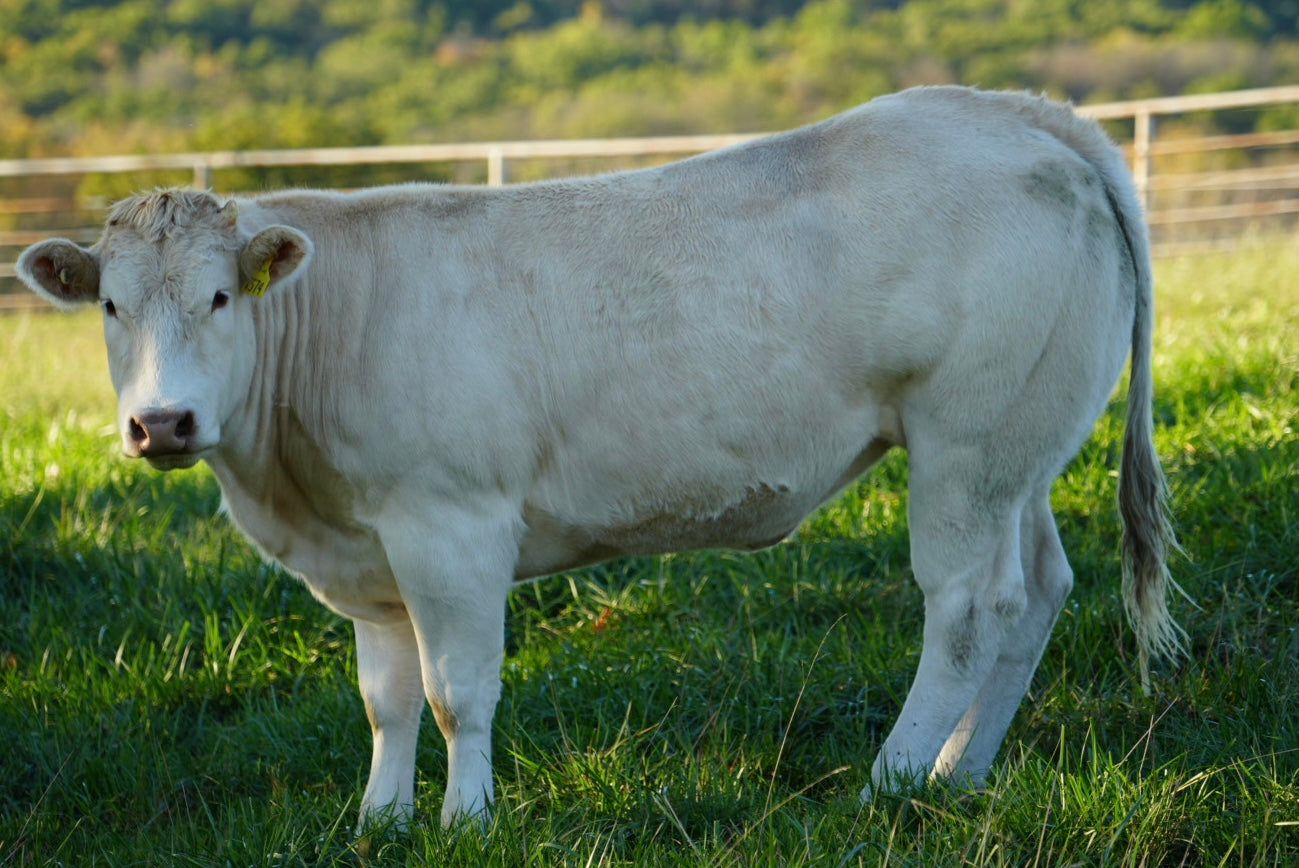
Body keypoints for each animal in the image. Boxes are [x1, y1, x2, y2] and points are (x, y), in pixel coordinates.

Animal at [17, 86, 1182, 830]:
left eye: (221, 296)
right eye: (111, 306)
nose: (162, 423)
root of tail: (1014, 111)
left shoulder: (452, 527)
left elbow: (457, 691)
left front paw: (466, 819)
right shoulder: (368, 556)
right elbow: (387, 699)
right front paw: (379, 820)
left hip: (963, 442)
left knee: (968, 606)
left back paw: (893, 782)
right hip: (1021, 442)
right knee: (1037, 590)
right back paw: (960, 776)